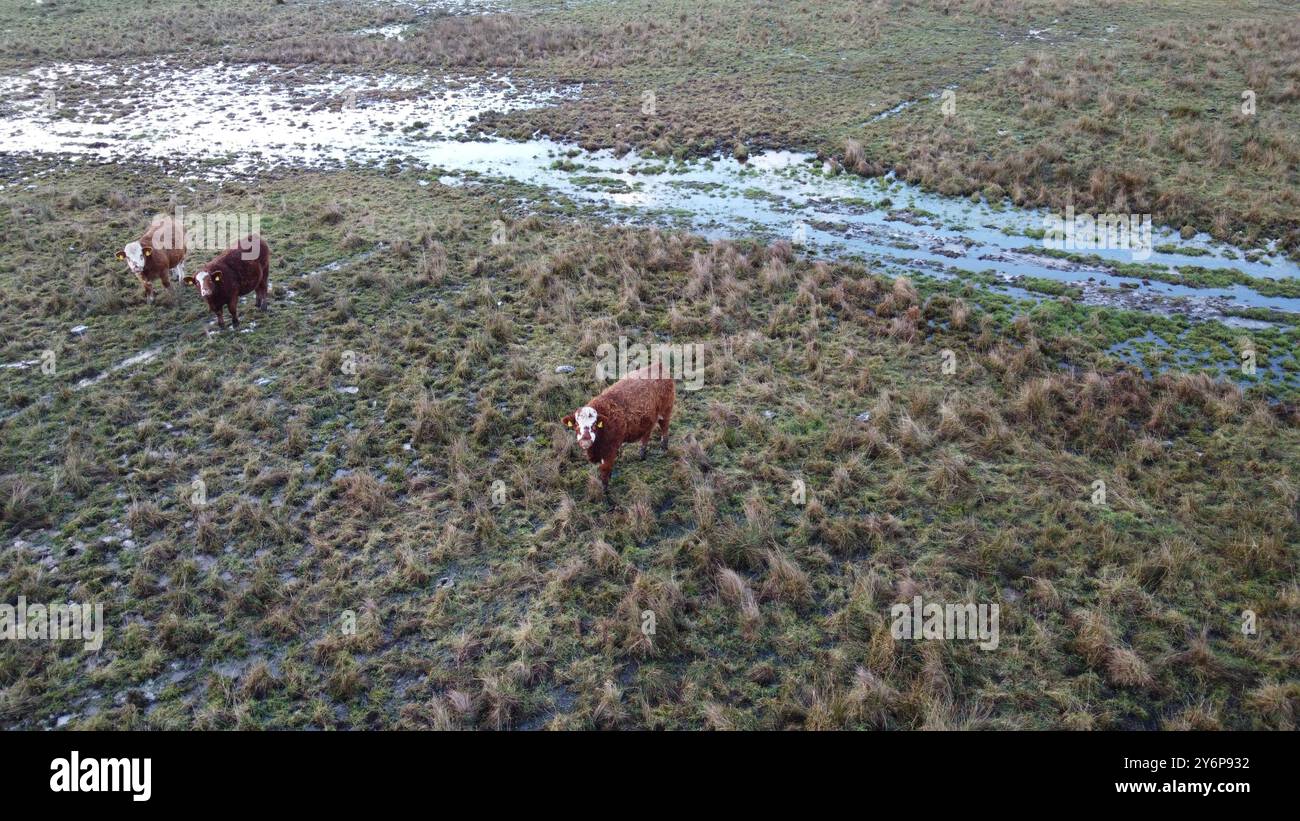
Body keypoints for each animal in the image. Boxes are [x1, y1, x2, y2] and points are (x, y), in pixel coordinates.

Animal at [562, 362, 675, 497]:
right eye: (577, 426)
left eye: (594, 425)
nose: (585, 441)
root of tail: (657, 365)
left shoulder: (611, 450)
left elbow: (605, 470)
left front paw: (605, 491)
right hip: (647, 420)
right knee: (646, 434)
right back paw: (642, 454)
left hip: (666, 411)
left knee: (664, 428)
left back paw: (663, 448)